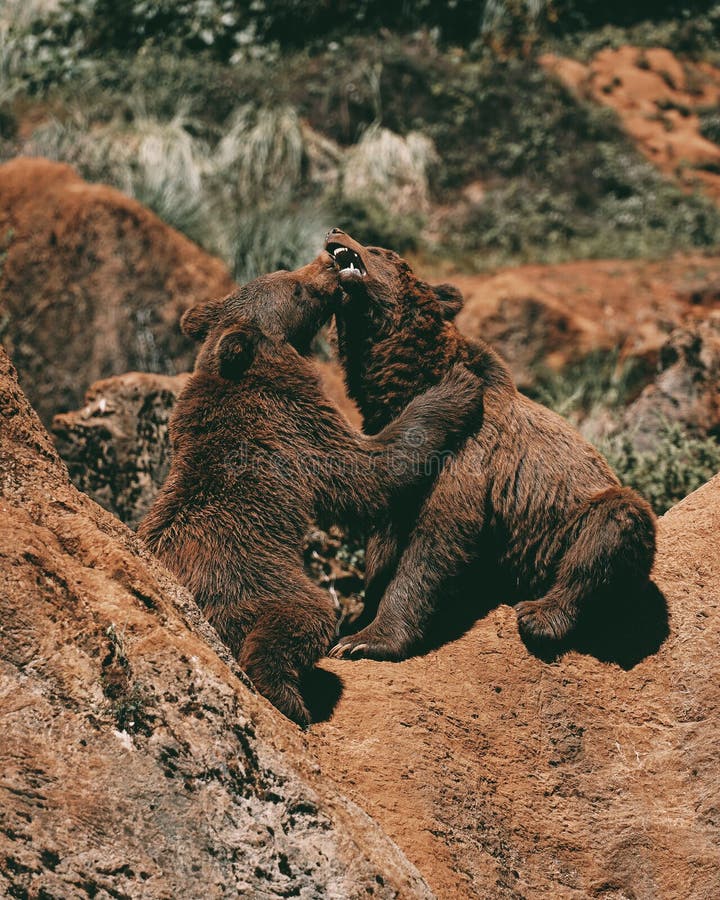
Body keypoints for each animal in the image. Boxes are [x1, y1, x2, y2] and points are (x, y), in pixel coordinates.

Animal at [138, 252, 484, 724]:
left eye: (285, 274)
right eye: (296, 288)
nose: (326, 262)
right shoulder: (297, 425)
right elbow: (369, 468)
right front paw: (457, 384)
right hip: (260, 581)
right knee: (299, 622)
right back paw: (292, 699)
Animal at [323, 229, 657, 661]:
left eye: (382, 251)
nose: (336, 231)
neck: (410, 381)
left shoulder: (468, 448)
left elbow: (437, 538)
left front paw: (367, 639)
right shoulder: (402, 452)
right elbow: (384, 541)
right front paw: (355, 622)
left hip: (562, 531)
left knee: (612, 526)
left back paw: (541, 615)